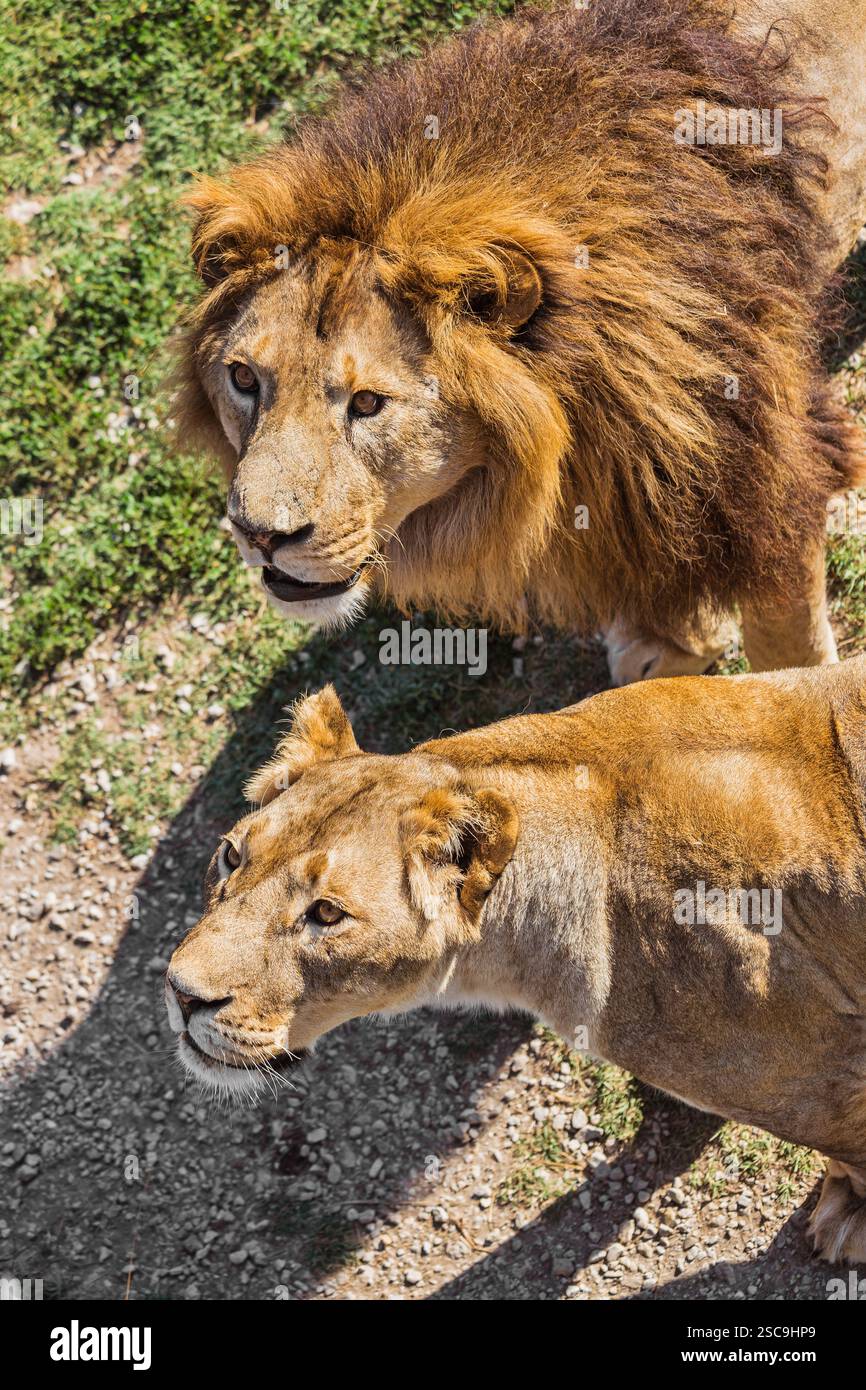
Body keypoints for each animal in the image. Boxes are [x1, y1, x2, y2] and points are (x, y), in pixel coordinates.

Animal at [166, 665, 866, 1264]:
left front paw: (850, 1216)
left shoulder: (818, 1081)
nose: (181, 992)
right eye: (231, 856)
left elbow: (853, 1153)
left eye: (327, 914)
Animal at [174, 0, 866, 684]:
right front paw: (678, 646)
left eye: (367, 403)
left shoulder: (770, 472)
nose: (260, 535)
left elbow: (785, 645)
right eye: (243, 379)